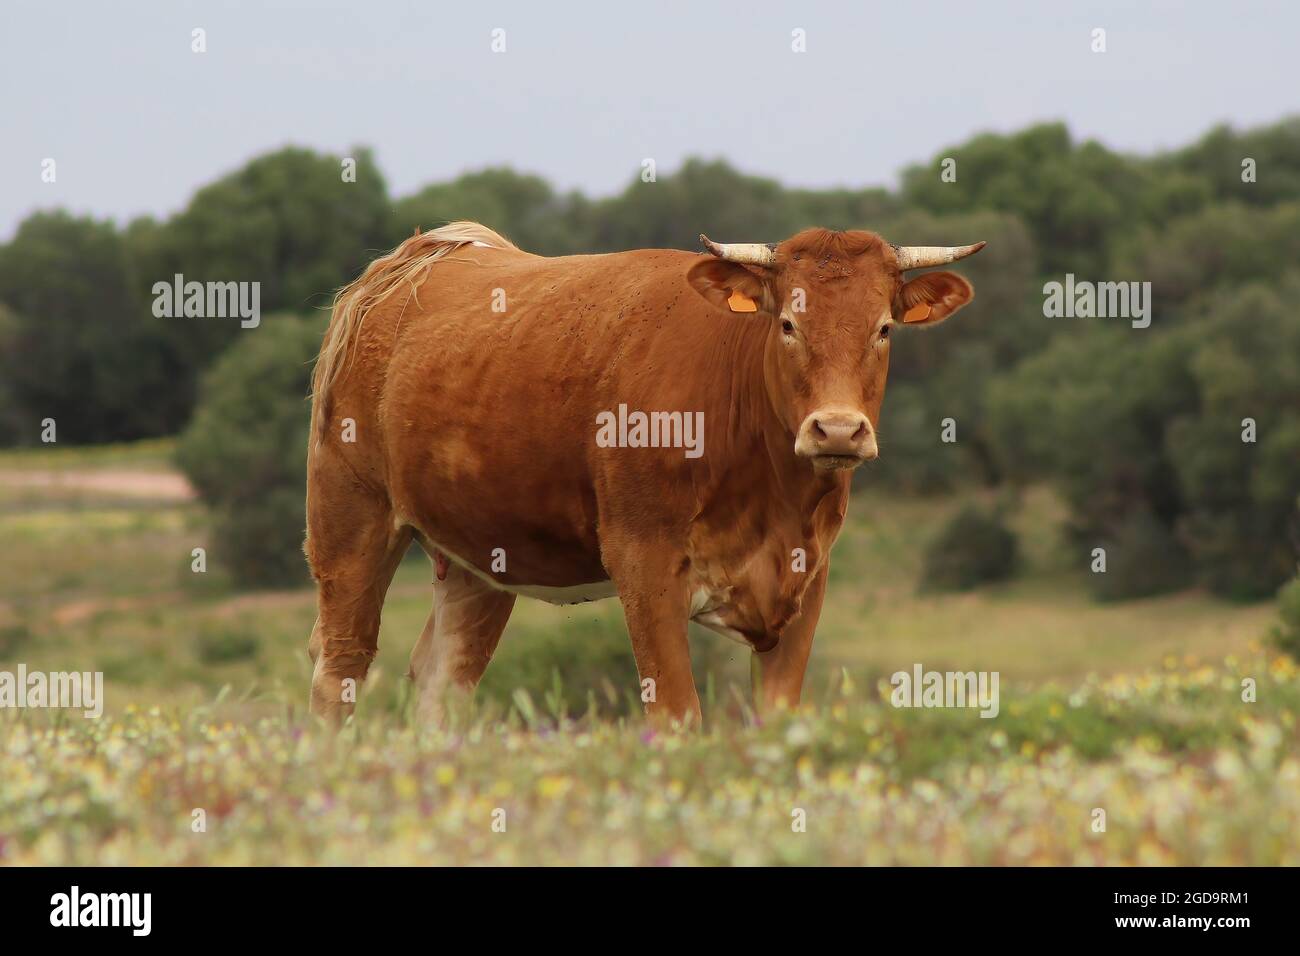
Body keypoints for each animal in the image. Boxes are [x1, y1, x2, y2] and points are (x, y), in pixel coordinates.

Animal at [304, 222, 983, 726]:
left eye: (884, 327)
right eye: (788, 324)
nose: (838, 430)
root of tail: (422, 255)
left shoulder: (805, 580)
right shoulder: (644, 565)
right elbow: (677, 716)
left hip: (478, 557)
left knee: (443, 678)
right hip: (351, 515)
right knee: (341, 662)